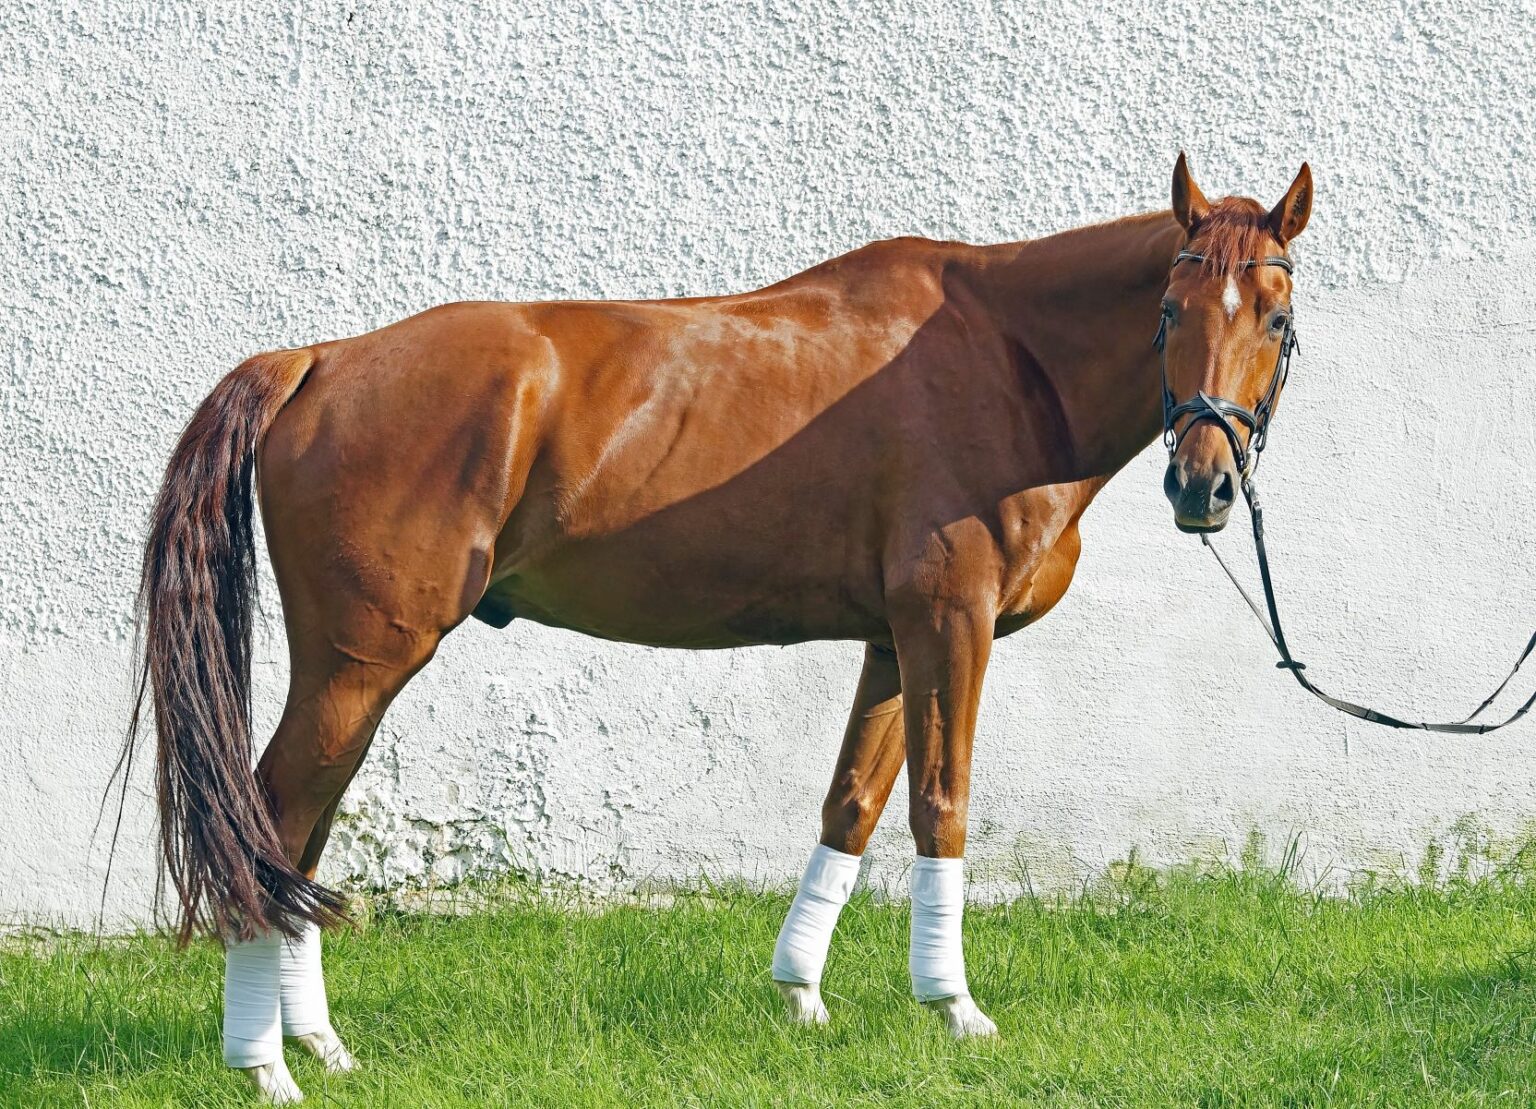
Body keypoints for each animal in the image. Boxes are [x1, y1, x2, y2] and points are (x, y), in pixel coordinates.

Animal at [124, 153, 1311, 1102]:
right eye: (1170, 311)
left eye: (1276, 317)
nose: (1204, 485)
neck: (1006, 357)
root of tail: (321, 358)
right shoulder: (951, 622)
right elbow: (941, 802)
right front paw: (956, 1006)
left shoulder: (894, 637)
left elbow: (853, 801)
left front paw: (801, 995)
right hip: (362, 663)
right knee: (273, 823)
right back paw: (265, 1066)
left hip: (353, 674)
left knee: (297, 839)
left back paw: (319, 1045)